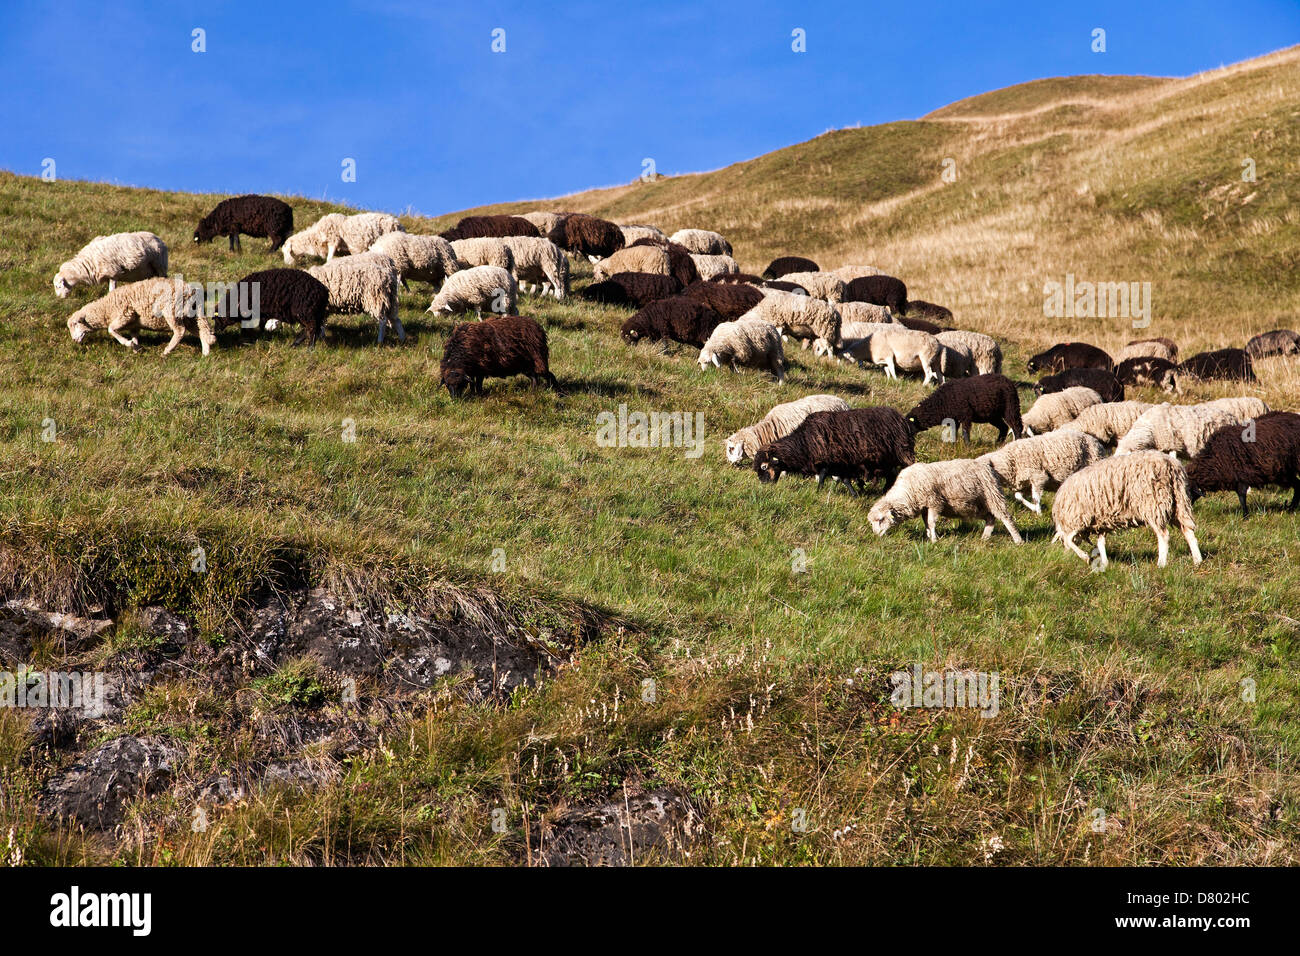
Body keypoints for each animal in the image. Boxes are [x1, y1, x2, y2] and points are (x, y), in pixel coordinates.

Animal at [66, 276, 212, 355]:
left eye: (74, 324)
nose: (74, 340)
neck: (106, 309)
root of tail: (192, 291)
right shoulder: (133, 324)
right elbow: (135, 336)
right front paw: (136, 348)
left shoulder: (125, 314)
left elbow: (111, 330)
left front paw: (127, 343)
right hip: (191, 316)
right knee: (202, 330)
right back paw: (205, 353)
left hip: (172, 310)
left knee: (180, 331)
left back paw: (167, 351)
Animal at [753, 407, 914, 493]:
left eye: (764, 466)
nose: (763, 485)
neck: (804, 444)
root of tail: (901, 419)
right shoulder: (841, 463)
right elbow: (845, 480)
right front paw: (856, 492)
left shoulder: (830, 460)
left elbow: (823, 475)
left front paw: (818, 490)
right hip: (887, 460)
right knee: (892, 475)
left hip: (899, 454)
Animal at [867, 459, 1023, 543]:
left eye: (880, 520)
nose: (876, 536)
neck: (908, 491)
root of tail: (987, 465)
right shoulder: (925, 507)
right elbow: (926, 523)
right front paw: (930, 537)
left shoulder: (934, 502)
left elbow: (931, 522)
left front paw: (934, 540)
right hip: (976, 504)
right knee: (990, 518)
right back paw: (985, 537)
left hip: (992, 494)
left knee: (1005, 517)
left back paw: (1018, 540)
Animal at [978, 430, 1107, 513]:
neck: (1010, 460)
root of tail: (1096, 441)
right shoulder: (1024, 483)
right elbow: (1018, 496)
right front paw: (1033, 508)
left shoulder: (1038, 476)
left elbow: (1036, 497)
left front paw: (1038, 512)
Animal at [1051, 452, 1202, 569]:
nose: (1066, 558)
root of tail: (1171, 465)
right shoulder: (1101, 521)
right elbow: (1101, 543)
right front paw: (1105, 563)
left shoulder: (1080, 518)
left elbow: (1069, 538)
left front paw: (1085, 557)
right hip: (1179, 503)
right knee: (1188, 532)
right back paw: (1197, 560)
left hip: (1154, 504)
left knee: (1164, 535)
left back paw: (1161, 564)